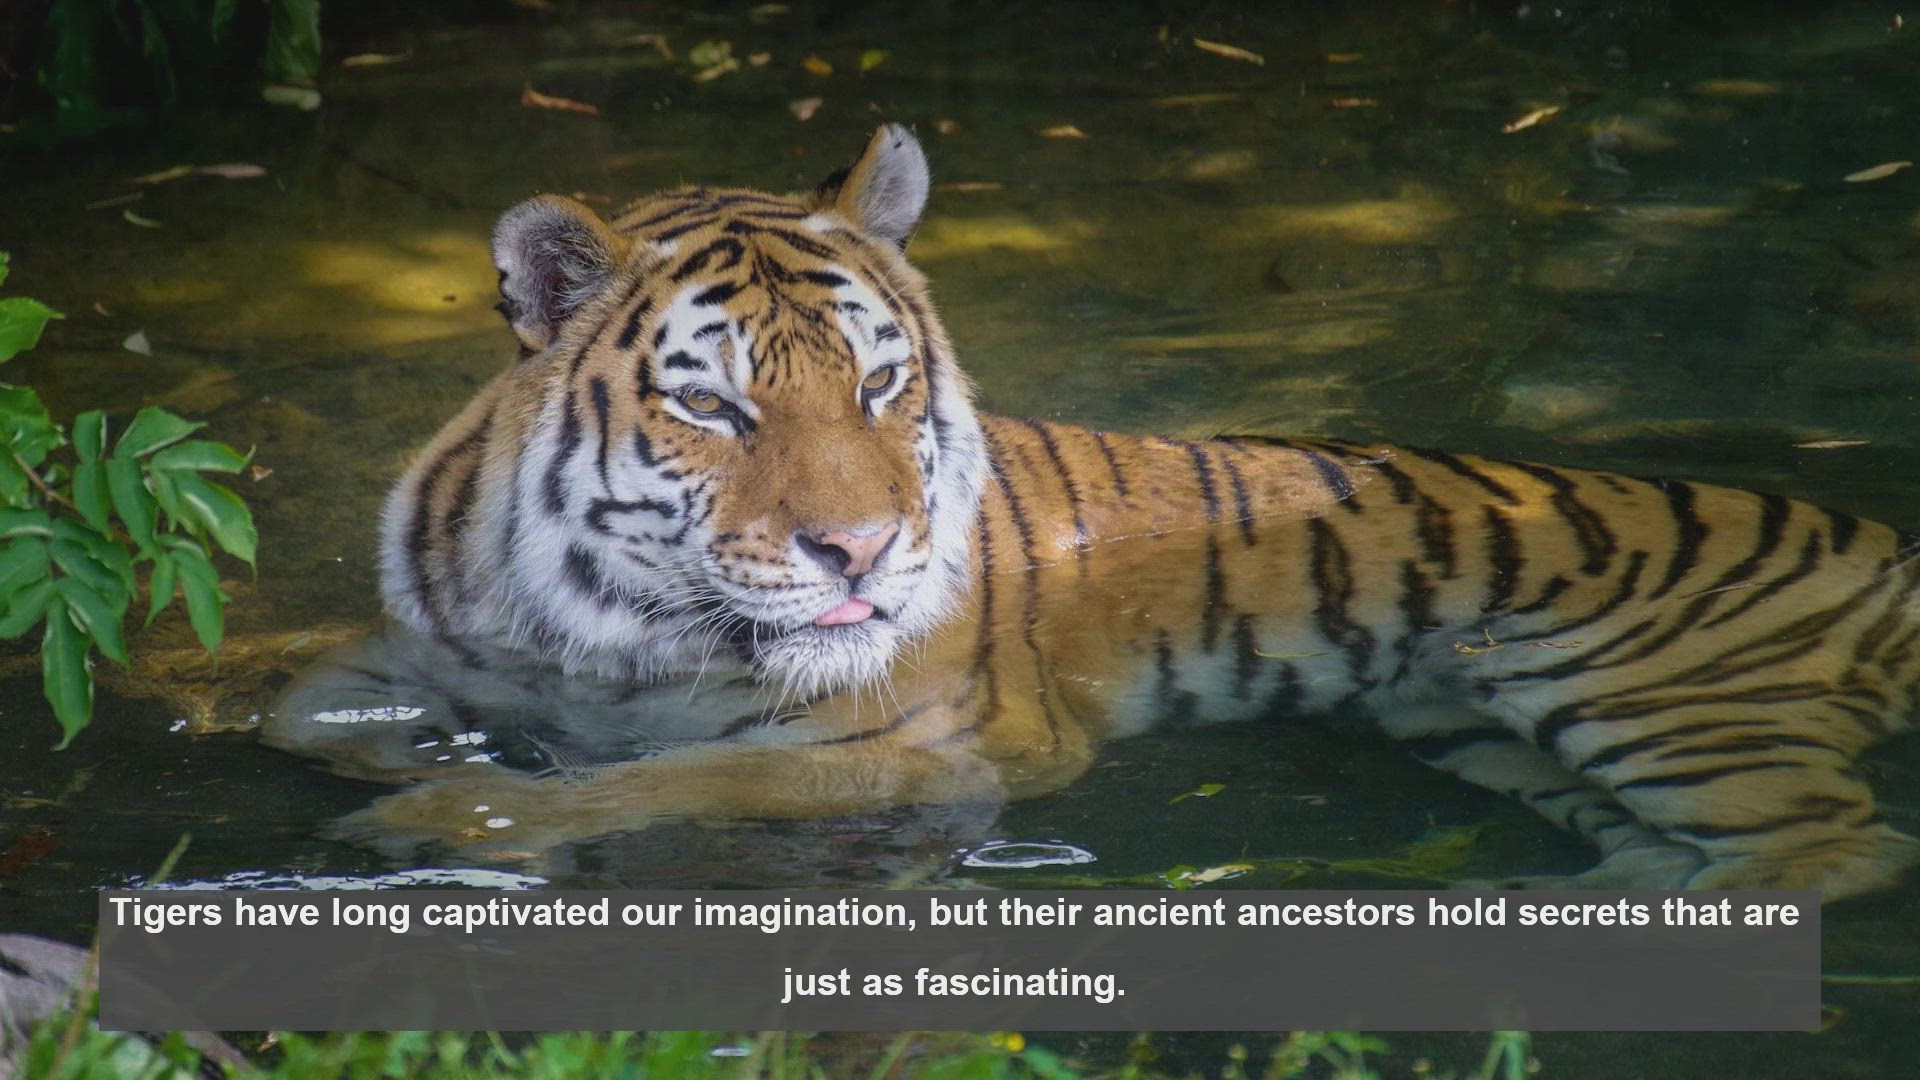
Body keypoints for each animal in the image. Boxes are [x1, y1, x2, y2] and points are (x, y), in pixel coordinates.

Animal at [329, 124, 1920, 900]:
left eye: (881, 383)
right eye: (715, 409)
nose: (864, 550)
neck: (604, 620)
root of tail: (1888, 545)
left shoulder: (925, 746)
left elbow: (668, 780)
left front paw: (450, 813)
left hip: (1649, 694)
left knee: (1831, 851)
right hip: (1468, 721)